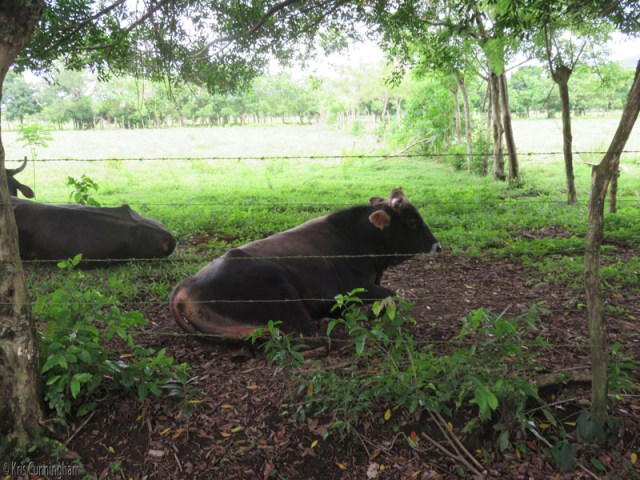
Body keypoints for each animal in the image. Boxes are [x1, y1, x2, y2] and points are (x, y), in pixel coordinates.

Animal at [170, 188, 441, 339]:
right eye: (412, 221)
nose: (438, 246)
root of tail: (187, 284)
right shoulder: (355, 288)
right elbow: (394, 295)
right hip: (281, 290)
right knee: (306, 328)